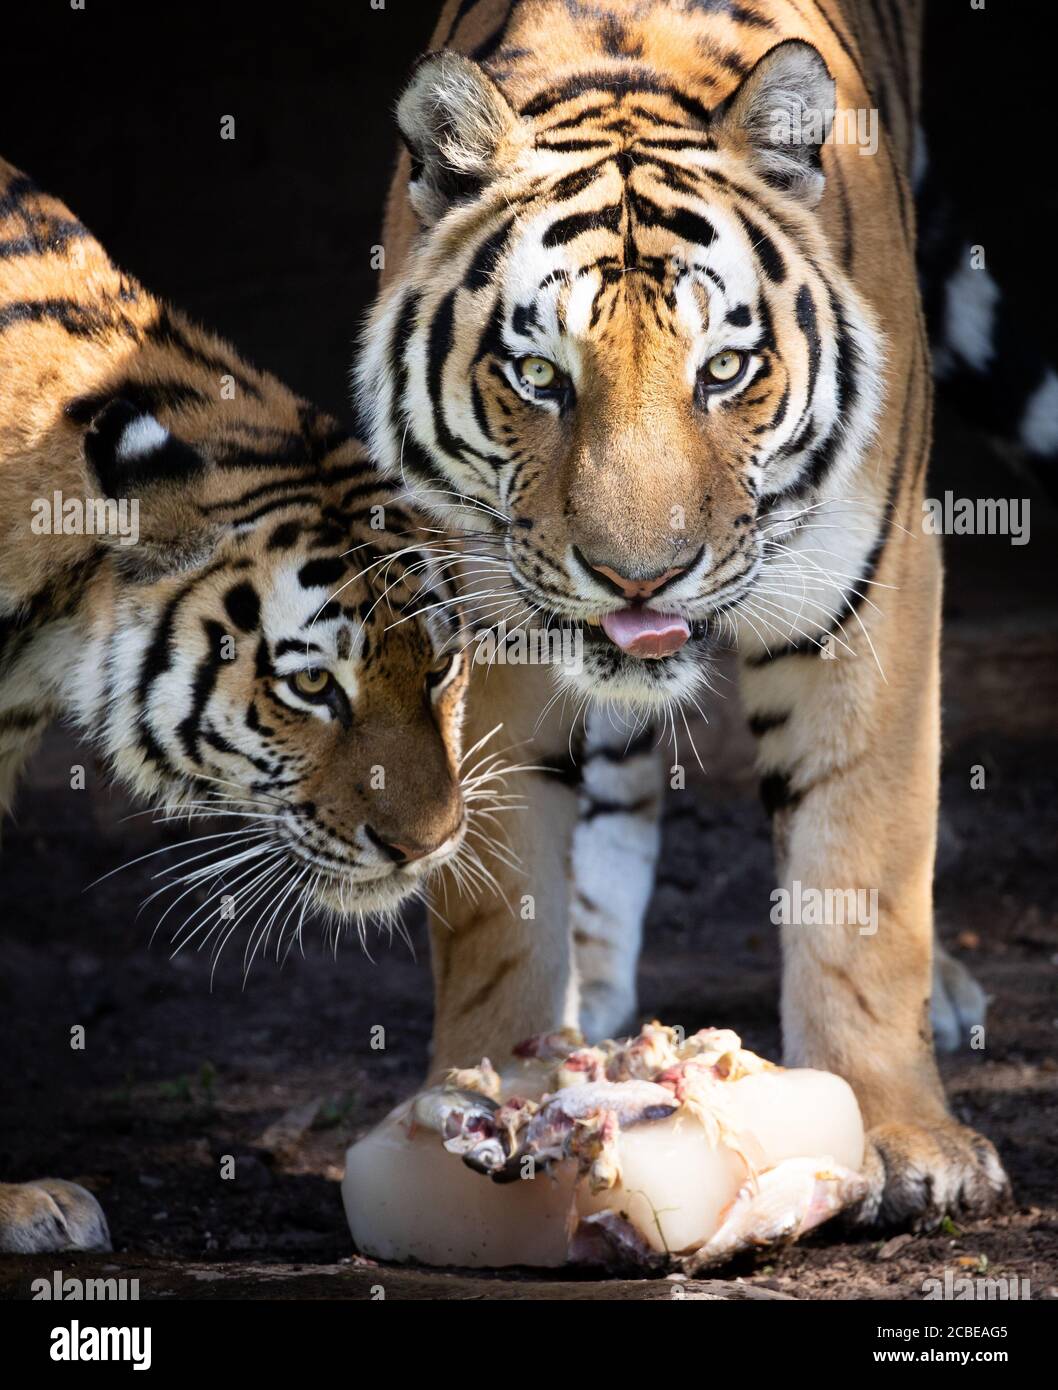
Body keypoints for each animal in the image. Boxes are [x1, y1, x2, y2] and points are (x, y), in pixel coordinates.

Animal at [355, 0, 1018, 1229]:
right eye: (537, 375)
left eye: (724, 370)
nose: (639, 579)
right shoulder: (486, 627)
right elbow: (496, 905)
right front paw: (487, 1092)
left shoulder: (873, 589)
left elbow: (862, 870)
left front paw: (903, 1135)